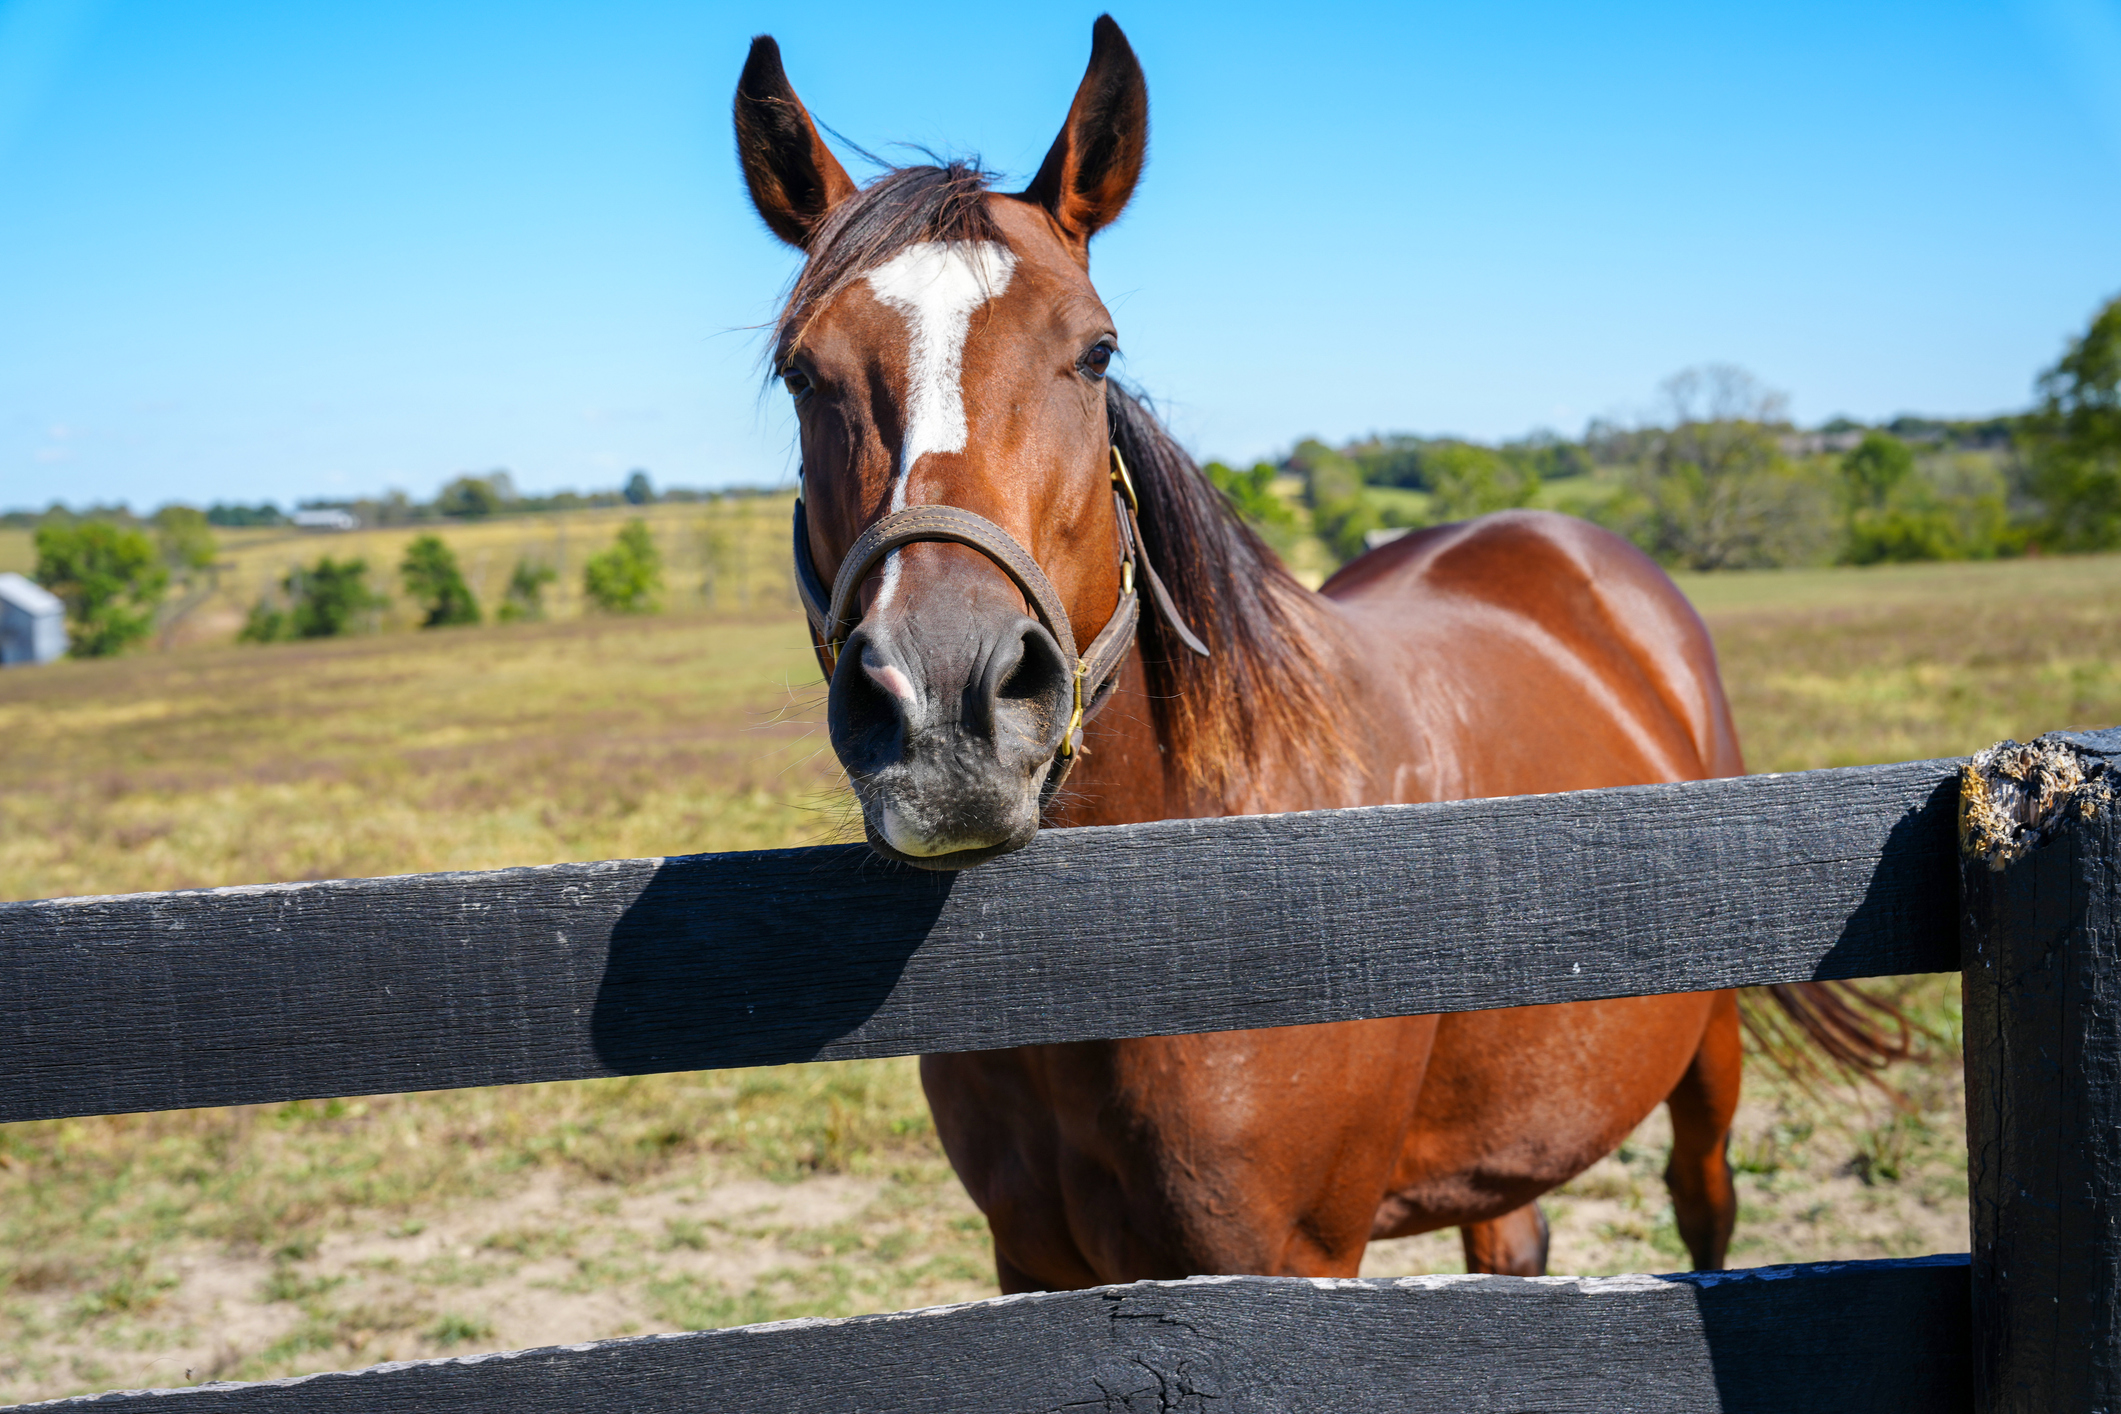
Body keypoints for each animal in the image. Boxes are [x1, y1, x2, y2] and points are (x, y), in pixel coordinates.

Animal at [733, 17, 1892, 1287]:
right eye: (801, 370)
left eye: (1095, 352)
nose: (945, 702)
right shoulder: (1032, 1263)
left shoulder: (1287, 1262)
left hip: (1708, 1059)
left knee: (1703, 1202)